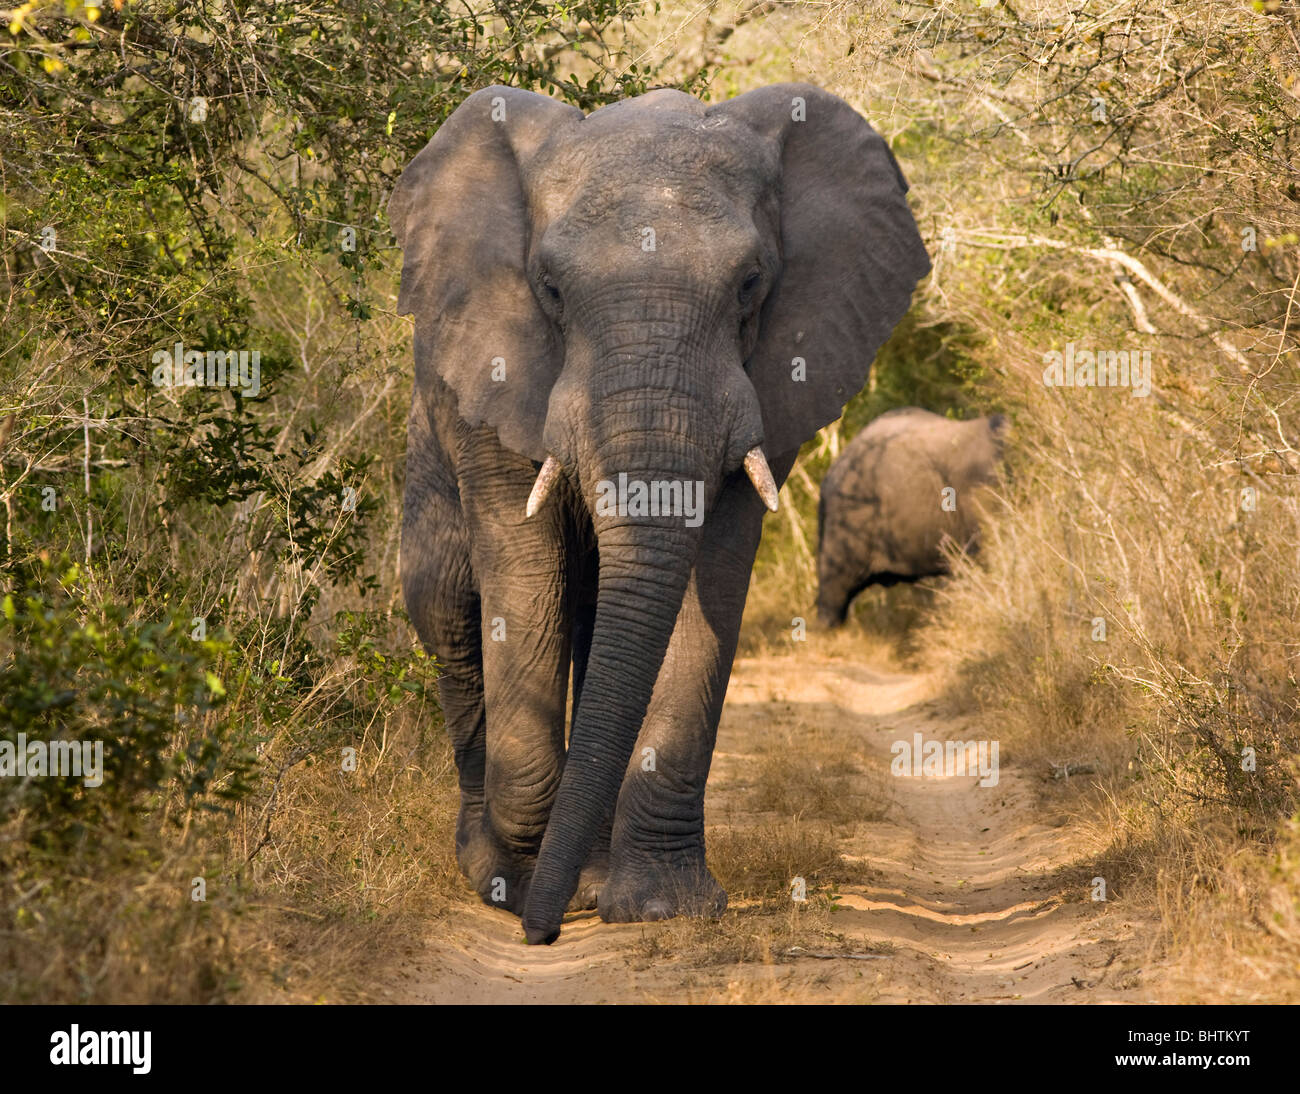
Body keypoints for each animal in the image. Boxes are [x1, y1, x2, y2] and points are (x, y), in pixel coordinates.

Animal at [388, 81, 930, 944]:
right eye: (549, 287)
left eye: (750, 282)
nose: (541, 934)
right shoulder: (498, 369)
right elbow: (523, 577)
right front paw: (524, 886)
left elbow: (711, 585)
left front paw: (659, 907)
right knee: (445, 603)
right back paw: (495, 868)